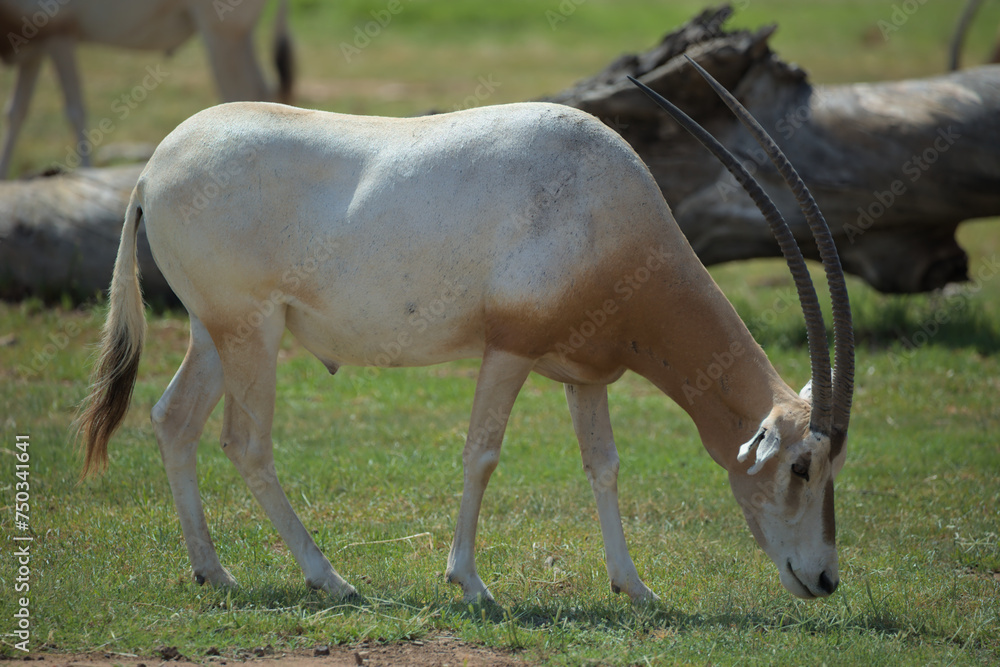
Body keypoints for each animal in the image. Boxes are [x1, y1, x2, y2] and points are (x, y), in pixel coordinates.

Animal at [0, 0, 293, 178]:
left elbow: (75, 111)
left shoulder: (58, 35)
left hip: (221, 33)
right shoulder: (34, 47)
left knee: (242, 89)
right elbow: (16, 111)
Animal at [78, 58, 854, 604]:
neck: (609, 211)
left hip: (216, 334)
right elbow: (481, 454)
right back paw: (330, 579)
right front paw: (471, 582)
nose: (823, 579)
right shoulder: (509, 349)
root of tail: (151, 172)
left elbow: (603, 465)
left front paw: (634, 585)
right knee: (246, 443)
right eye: (800, 466)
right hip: (251, 333)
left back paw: (214, 572)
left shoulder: (586, 373)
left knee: (174, 420)